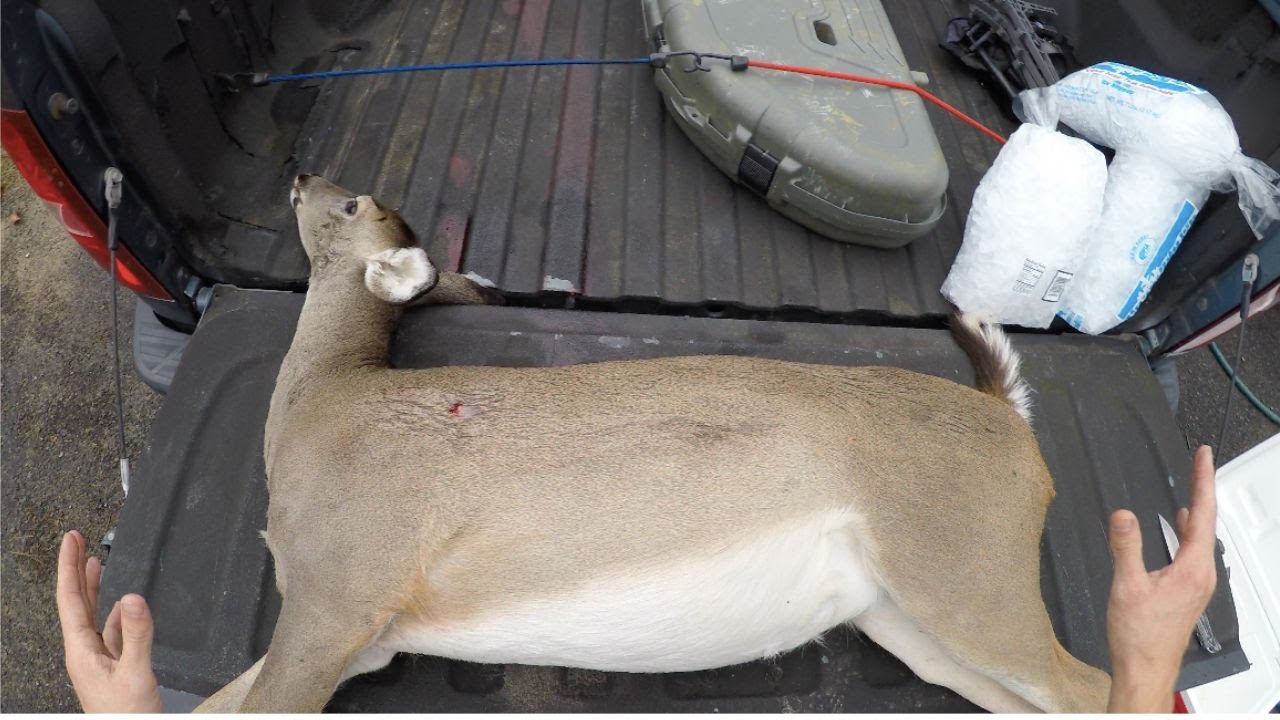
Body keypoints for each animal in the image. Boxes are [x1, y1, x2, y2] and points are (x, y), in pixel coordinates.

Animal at [194, 174, 1111, 713]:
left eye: (354, 204)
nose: (302, 174)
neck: (322, 401)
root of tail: (1008, 415)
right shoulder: (362, 632)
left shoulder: (339, 595)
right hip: (904, 619)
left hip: (967, 577)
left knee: (1095, 685)